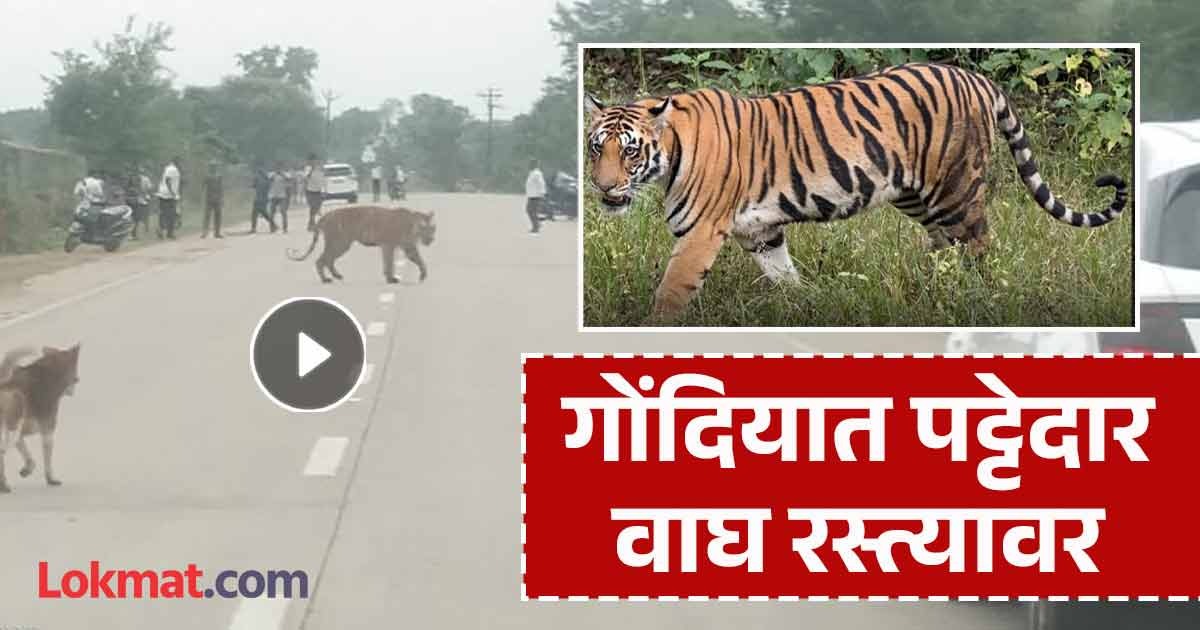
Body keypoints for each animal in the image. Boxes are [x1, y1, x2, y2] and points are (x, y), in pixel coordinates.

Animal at [286, 204, 436, 284]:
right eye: (423, 228)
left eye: (432, 228)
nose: (431, 239)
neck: (412, 226)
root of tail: (325, 216)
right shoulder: (389, 244)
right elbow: (390, 262)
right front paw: (391, 278)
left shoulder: (407, 246)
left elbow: (418, 260)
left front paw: (423, 275)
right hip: (340, 243)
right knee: (321, 260)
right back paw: (326, 279)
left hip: (341, 244)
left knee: (328, 260)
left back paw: (337, 276)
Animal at [583, 62, 1129, 320]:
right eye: (595, 149)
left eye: (629, 152)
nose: (603, 188)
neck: (670, 152)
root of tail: (975, 77)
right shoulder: (760, 232)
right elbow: (784, 274)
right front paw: (807, 305)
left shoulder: (699, 235)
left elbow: (671, 293)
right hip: (916, 195)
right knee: (944, 247)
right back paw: (929, 292)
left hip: (955, 190)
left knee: (978, 247)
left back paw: (977, 300)